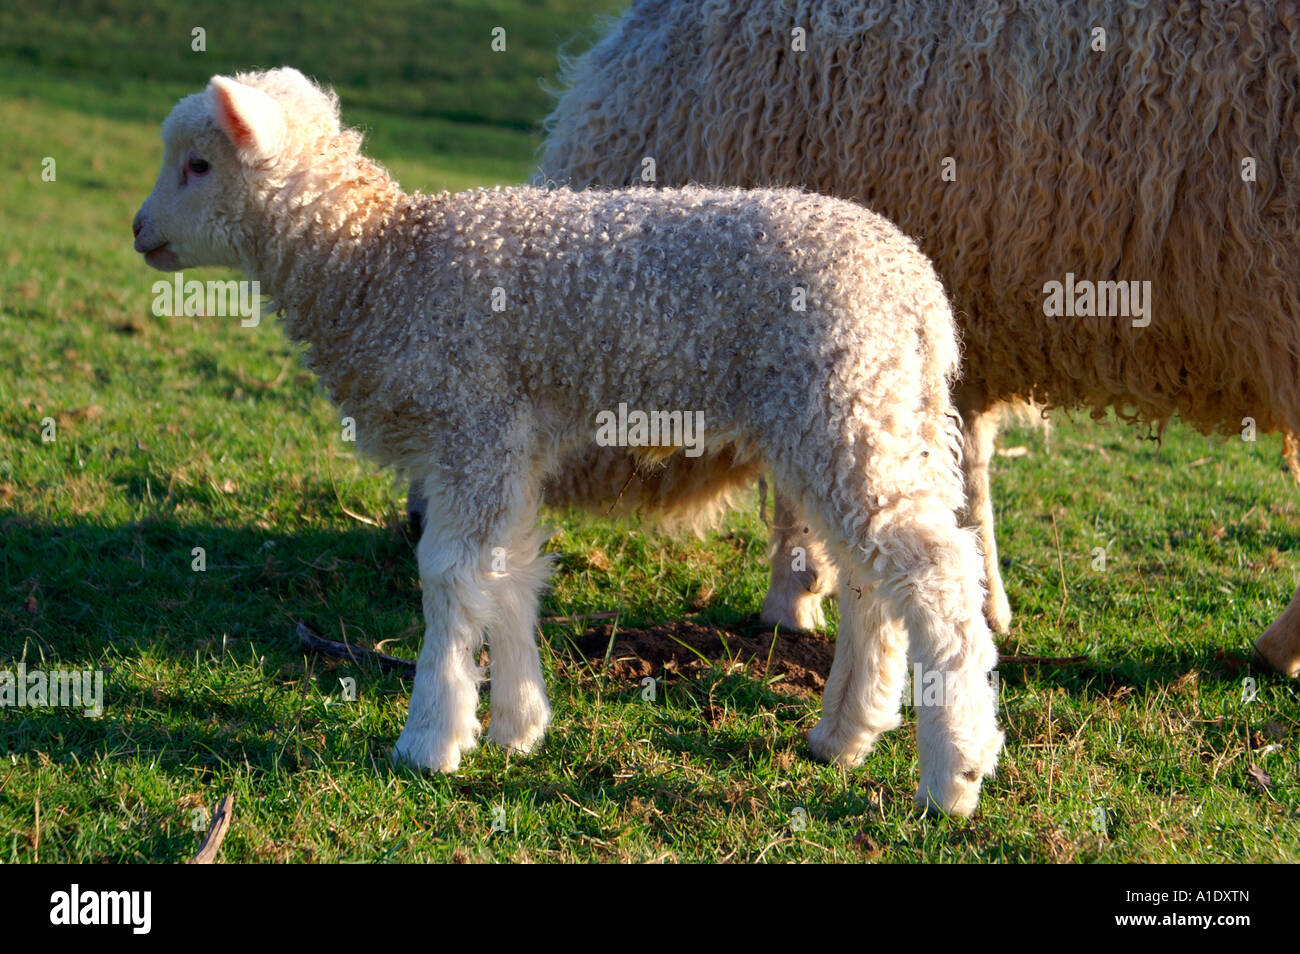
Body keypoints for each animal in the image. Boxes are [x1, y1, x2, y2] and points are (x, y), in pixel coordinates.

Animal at [131, 67, 1005, 816]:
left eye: (199, 165)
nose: (139, 232)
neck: (382, 264)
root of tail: (921, 294)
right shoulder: (506, 443)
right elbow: (511, 572)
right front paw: (517, 727)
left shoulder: (471, 423)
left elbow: (449, 576)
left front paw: (430, 739)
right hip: (864, 416)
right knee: (869, 580)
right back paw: (844, 735)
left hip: (846, 406)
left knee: (933, 575)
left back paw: (953, 775)